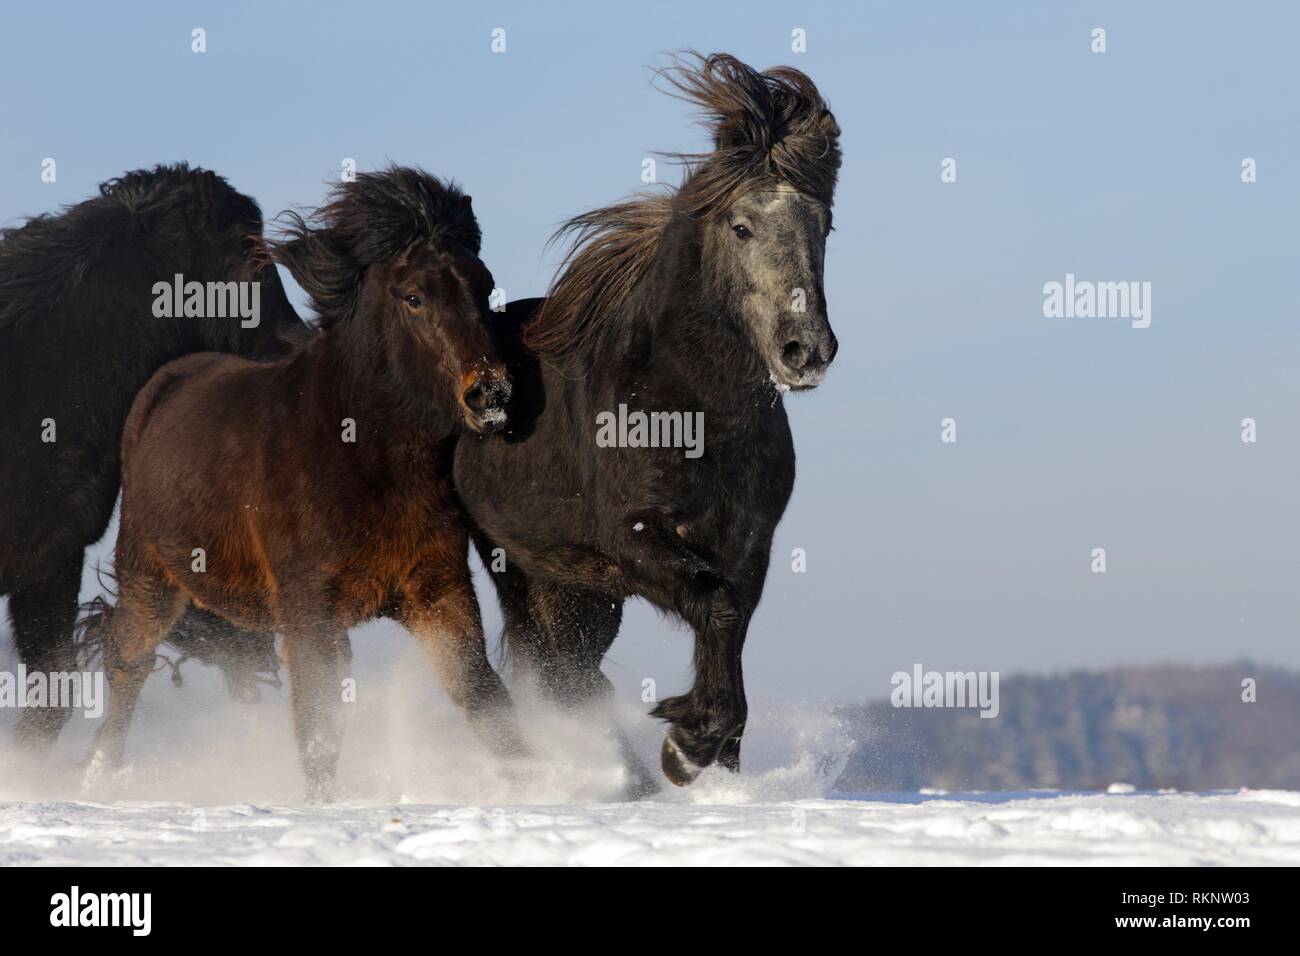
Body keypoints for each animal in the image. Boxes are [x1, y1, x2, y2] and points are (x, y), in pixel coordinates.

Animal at [82, 167, 524, 800]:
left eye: (484, 286)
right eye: (414, 296)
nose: (491, 394)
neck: (362, 455)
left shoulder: (436, 590)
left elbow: (483, 697)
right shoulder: (309, 610)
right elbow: (319, 730)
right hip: (149, 578)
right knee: (127, 667)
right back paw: (98, 783)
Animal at [453, 53, 841, 790]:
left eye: (825, 227)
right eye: (741, 227)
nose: (806, 351)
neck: (691, 412)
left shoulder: (749, 546)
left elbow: (730, 630)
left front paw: (714, 759)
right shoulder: (635, 538)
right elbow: (715, 608)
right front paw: (686, 746)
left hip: (584, 592)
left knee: (579, 674)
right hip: (529, 573)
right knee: (563, 676)